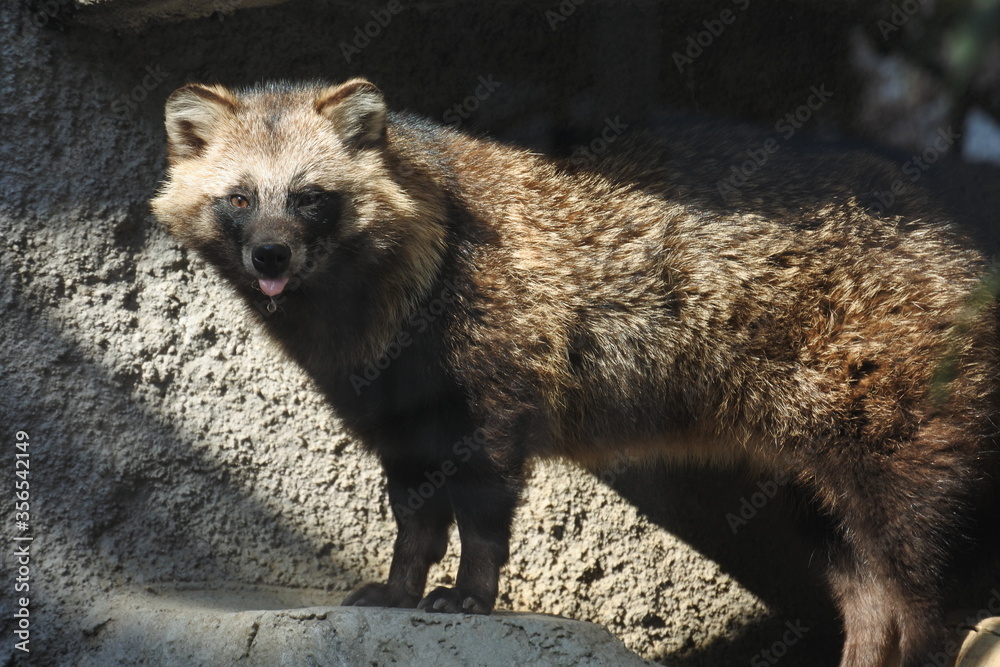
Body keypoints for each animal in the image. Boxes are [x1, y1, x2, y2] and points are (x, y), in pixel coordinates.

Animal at [151, 78, 999, 666]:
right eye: (238, 199)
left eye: (311, 197)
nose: (270, 256)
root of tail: (958, 242)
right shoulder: (401, 426)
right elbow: (414, 524)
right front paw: (399, 591)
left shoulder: (496, 402)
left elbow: (483, 522)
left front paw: (470, 596)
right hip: (813, 484)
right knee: (869, 603)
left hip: (899, 460)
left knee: (927, 603)